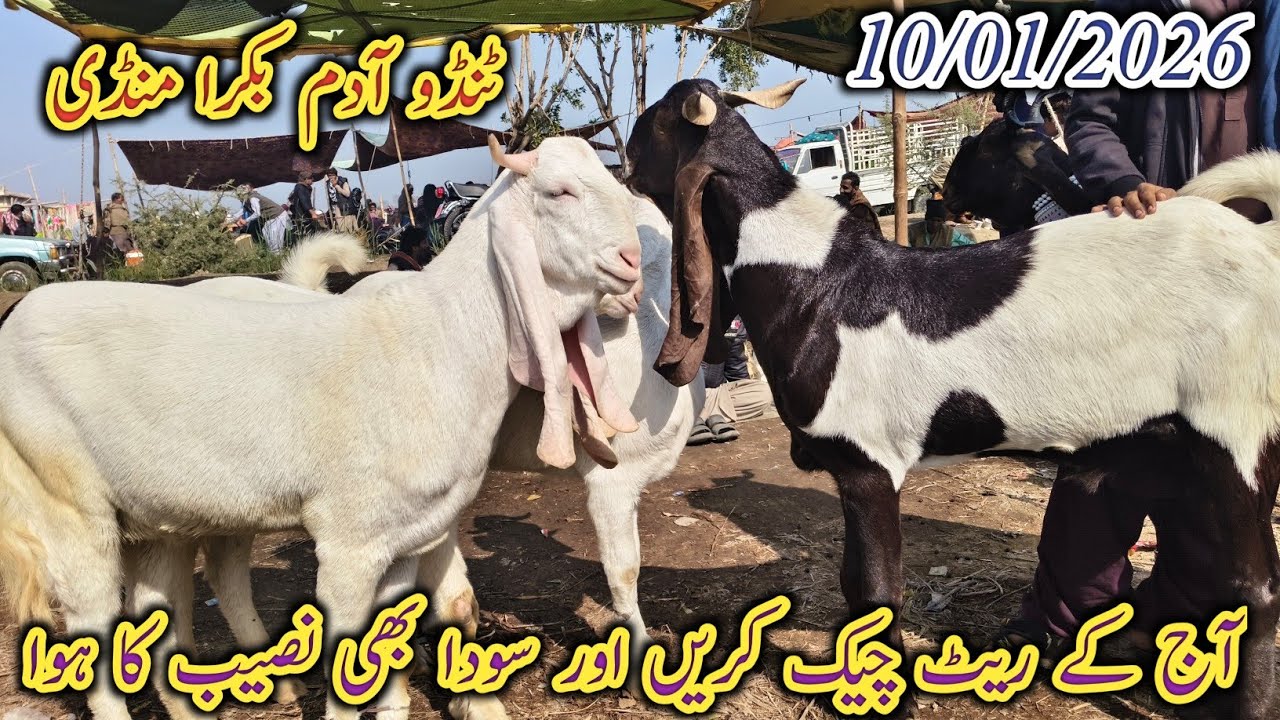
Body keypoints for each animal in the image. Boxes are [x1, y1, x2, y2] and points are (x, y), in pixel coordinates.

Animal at [0, 136, 643, 720]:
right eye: (559, 192)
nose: (633, 262)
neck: (440, 338)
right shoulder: (350, 539)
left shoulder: (410, 532)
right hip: (66, 504)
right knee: (94, 627)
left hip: (157, 520)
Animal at [626, 77, 1280, 719]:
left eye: (651, 124)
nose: (624, 167)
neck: (815, 281)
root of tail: (1260, 244)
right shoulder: (849, 472)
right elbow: (852, 587)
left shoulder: (871, 466)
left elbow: (876, 594)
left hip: (1237, 437)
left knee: (1257, 591)